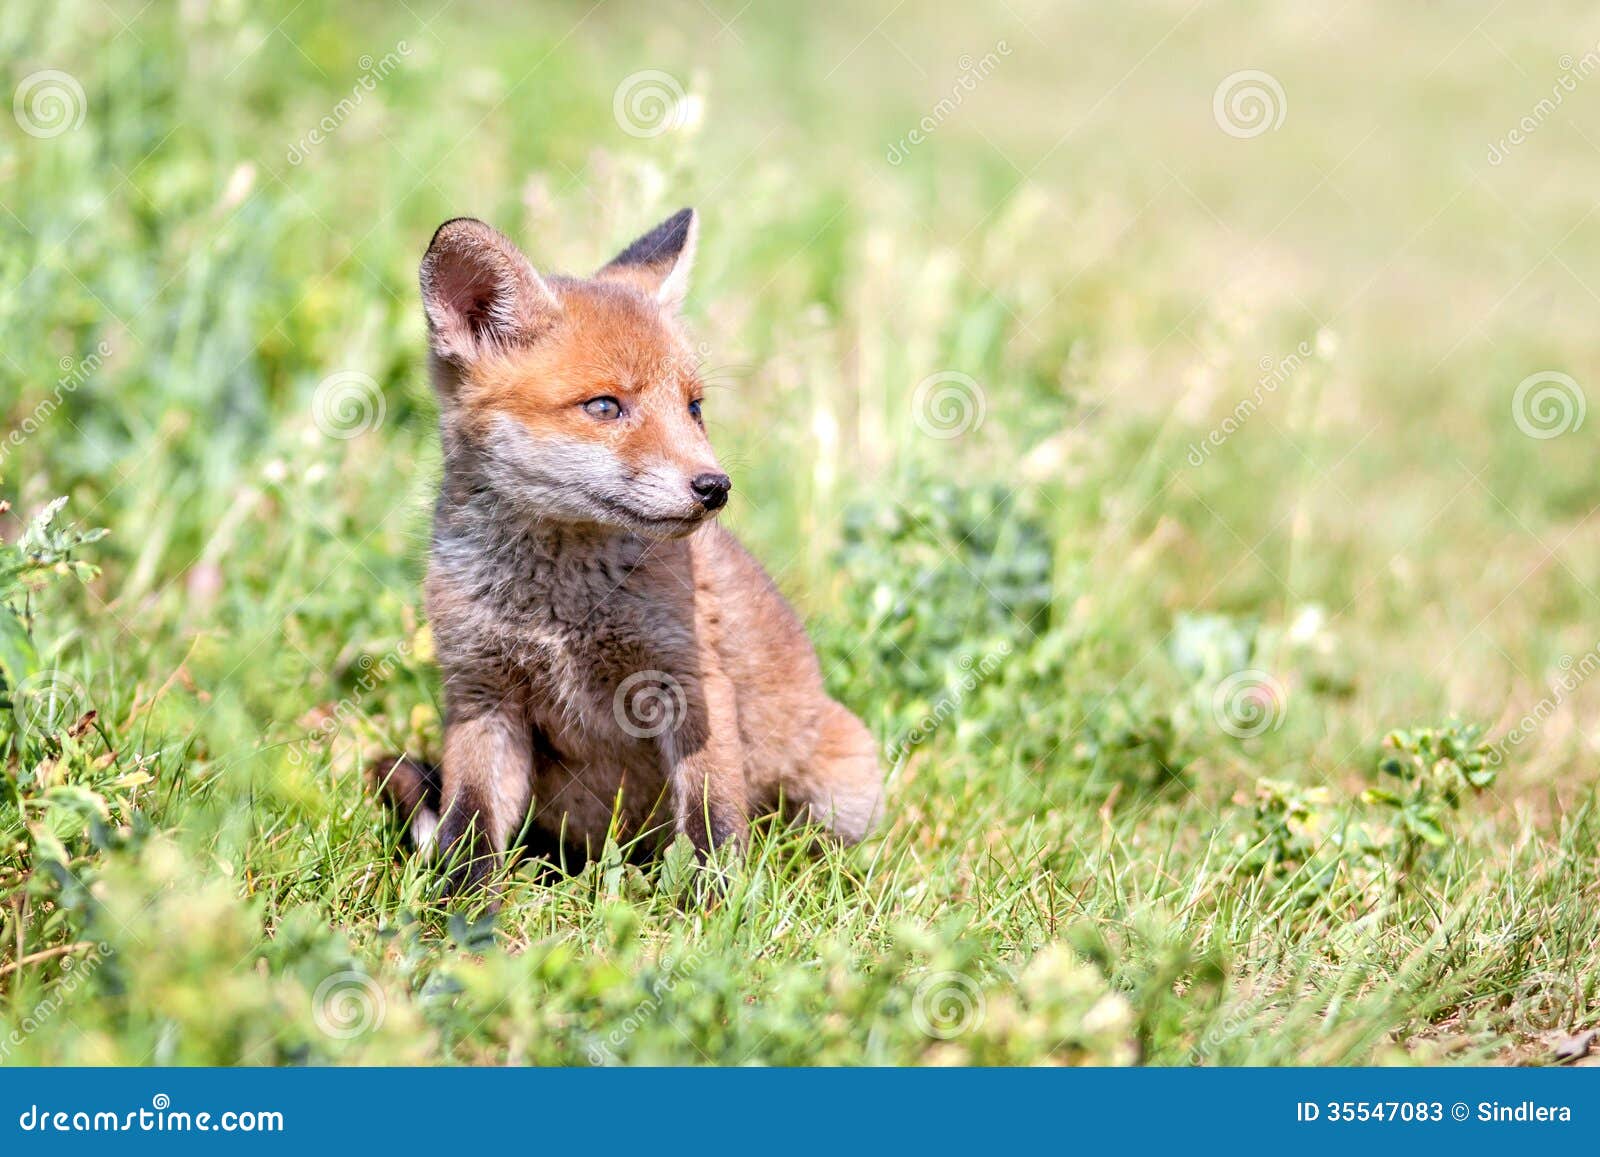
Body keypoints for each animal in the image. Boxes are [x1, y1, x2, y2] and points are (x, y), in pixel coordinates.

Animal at [369, 208, 883, 894]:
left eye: (694, 408)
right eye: (605, 405)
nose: (715, 487)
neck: (557, 610)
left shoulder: (689, 681)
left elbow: (714, 819)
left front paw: (717, 905)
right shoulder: (482, 693)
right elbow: (469, 825)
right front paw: (458, 906)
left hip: (847, 788)